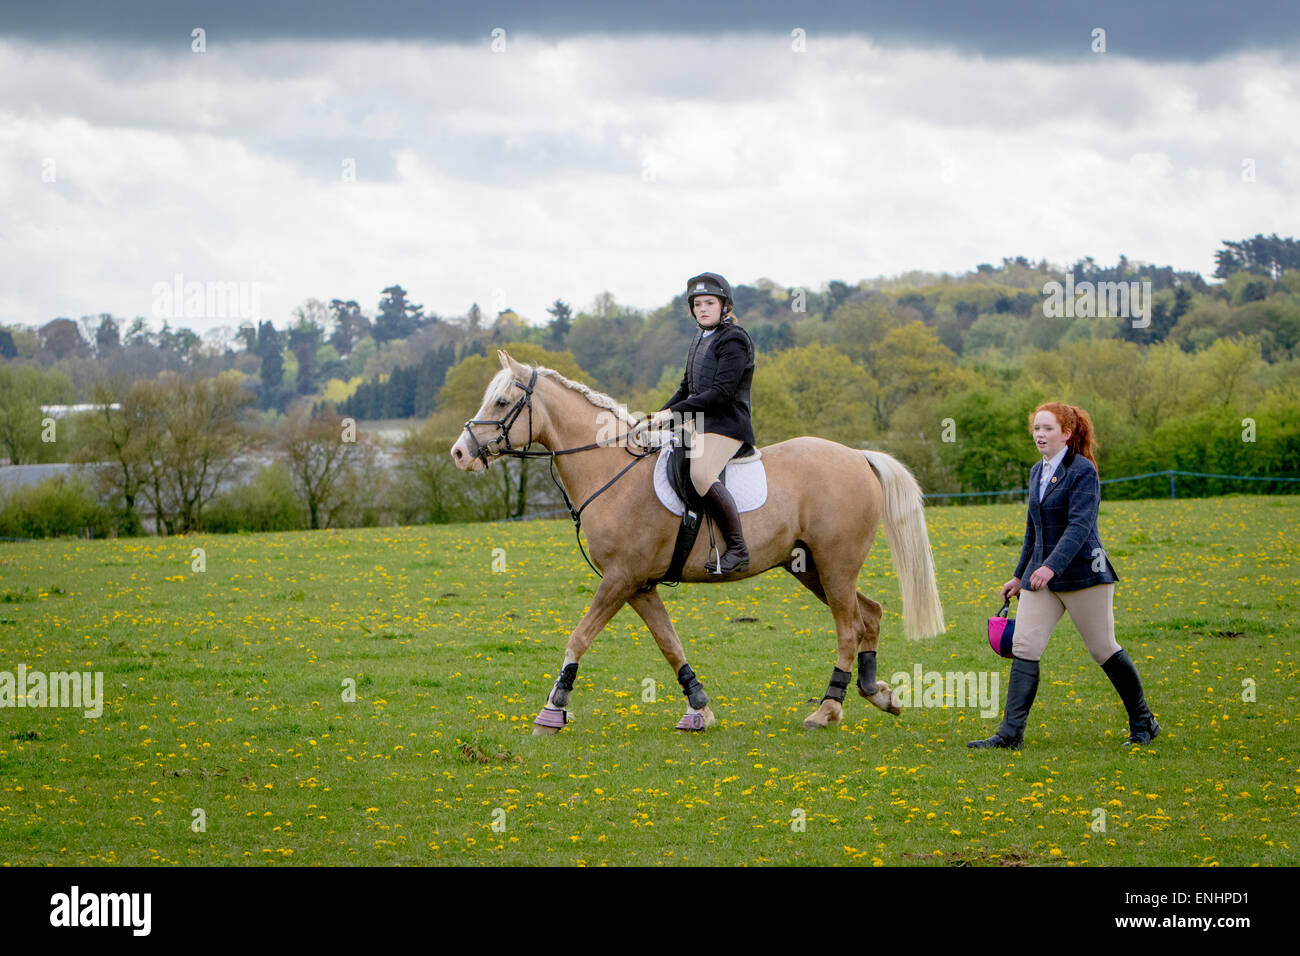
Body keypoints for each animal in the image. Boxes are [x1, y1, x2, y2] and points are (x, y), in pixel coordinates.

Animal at [450, 351, 946, 734]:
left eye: (502, 400)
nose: (459, 453)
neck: (610, 469)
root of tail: (858, 456)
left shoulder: (620, 579)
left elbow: (579, 637)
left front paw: (552, 710)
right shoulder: (639, 586)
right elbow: (671, 645)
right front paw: (698, 709)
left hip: (836, 565)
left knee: (848, 627)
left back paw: (827, 710)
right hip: (810, 568)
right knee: (869, 615)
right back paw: (878, 694)